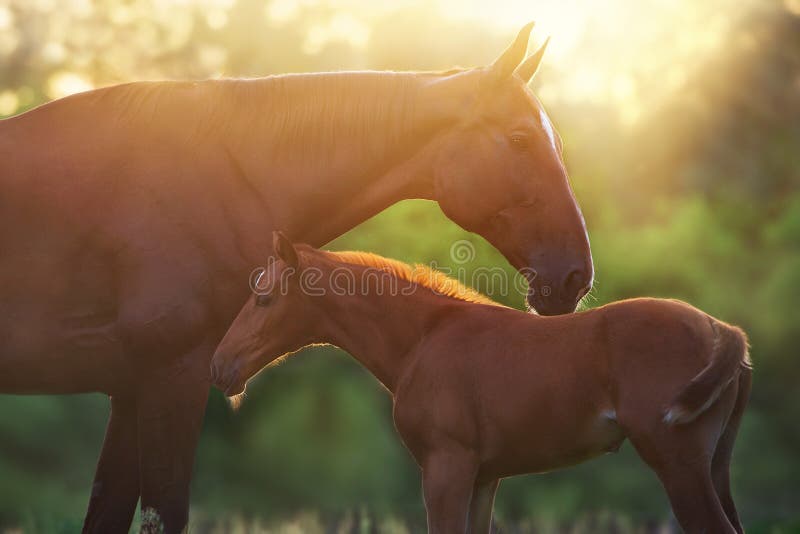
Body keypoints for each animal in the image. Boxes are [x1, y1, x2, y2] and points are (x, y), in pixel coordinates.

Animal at [212, 232, 752, 534]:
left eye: (263, 296)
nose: (220, 366)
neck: (424, 338)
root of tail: (721, 329)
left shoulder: (445, 467)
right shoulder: (484, 477)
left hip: (678, 464)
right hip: (715, 465)